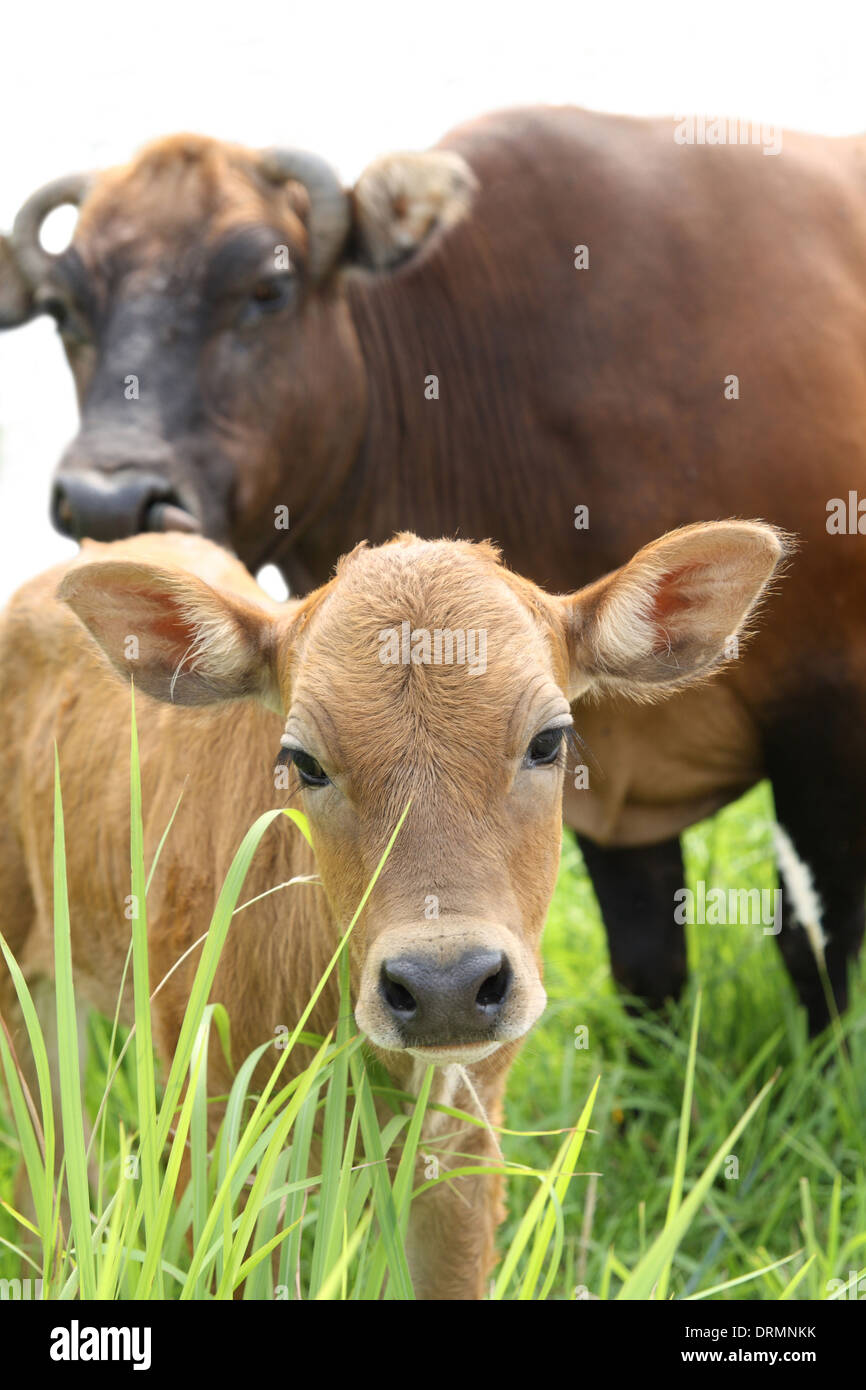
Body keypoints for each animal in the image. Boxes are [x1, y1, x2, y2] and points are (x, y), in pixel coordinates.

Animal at [1, 108, 866, 1034]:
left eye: (268, 289)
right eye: (63, 310)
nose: (108, 501)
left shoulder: (825, 709)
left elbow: (819, 957)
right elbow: (649, 966)